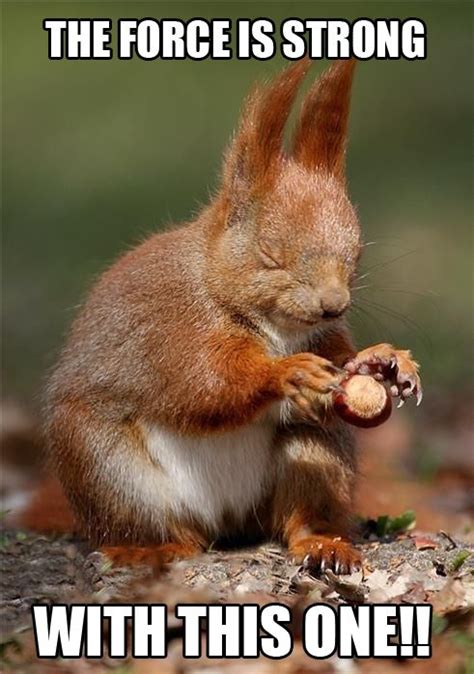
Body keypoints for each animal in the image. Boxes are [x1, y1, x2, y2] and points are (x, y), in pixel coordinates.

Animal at [38, 59, 421, 574]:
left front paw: (384, 361)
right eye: (270, 255)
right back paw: (149, 548)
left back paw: (323, 543)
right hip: (105, 466)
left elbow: (340, 360)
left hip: (315, 457)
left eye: (356, 253)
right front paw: (286, 374)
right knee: (158, 527)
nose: (333, 304)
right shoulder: (173, 326)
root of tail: (226, 522)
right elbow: (205, 384)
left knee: (300, 513)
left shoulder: (322, 338)